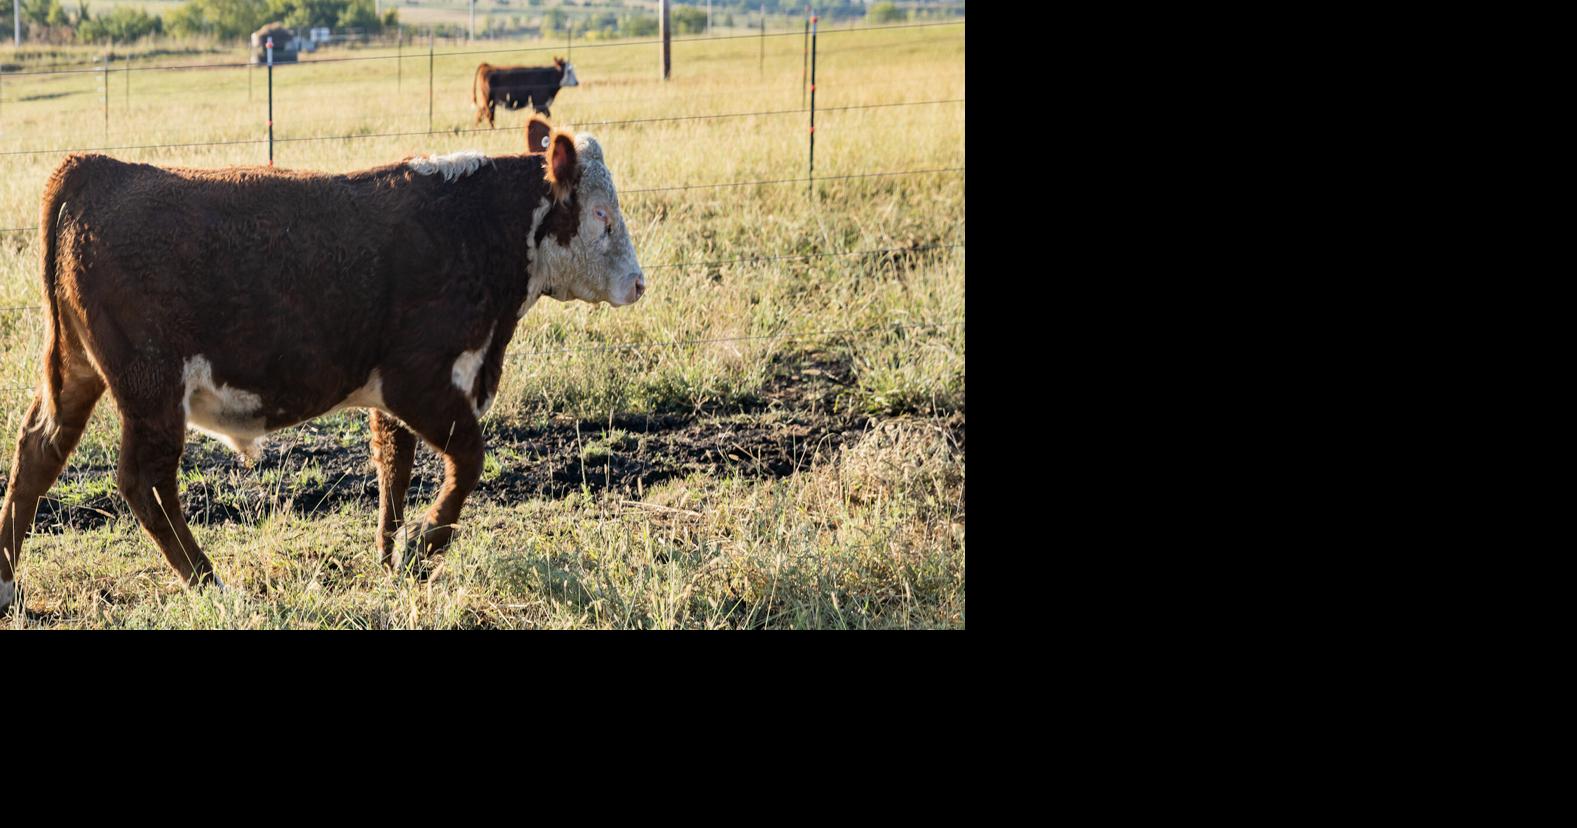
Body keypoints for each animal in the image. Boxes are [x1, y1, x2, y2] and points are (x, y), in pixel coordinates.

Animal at [0, 113, 645, 613]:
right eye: (601, 216)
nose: (639, 283)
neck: (477, 225)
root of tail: (96, 168)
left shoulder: (392, 395)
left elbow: (393, 466)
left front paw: (390, 555)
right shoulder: (421, 382)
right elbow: (468, 460)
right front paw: (425, 551)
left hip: (78, 371)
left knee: (38, 453)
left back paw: (10, 585)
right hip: (151, 388)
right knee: (144, 481)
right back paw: (208, 580)